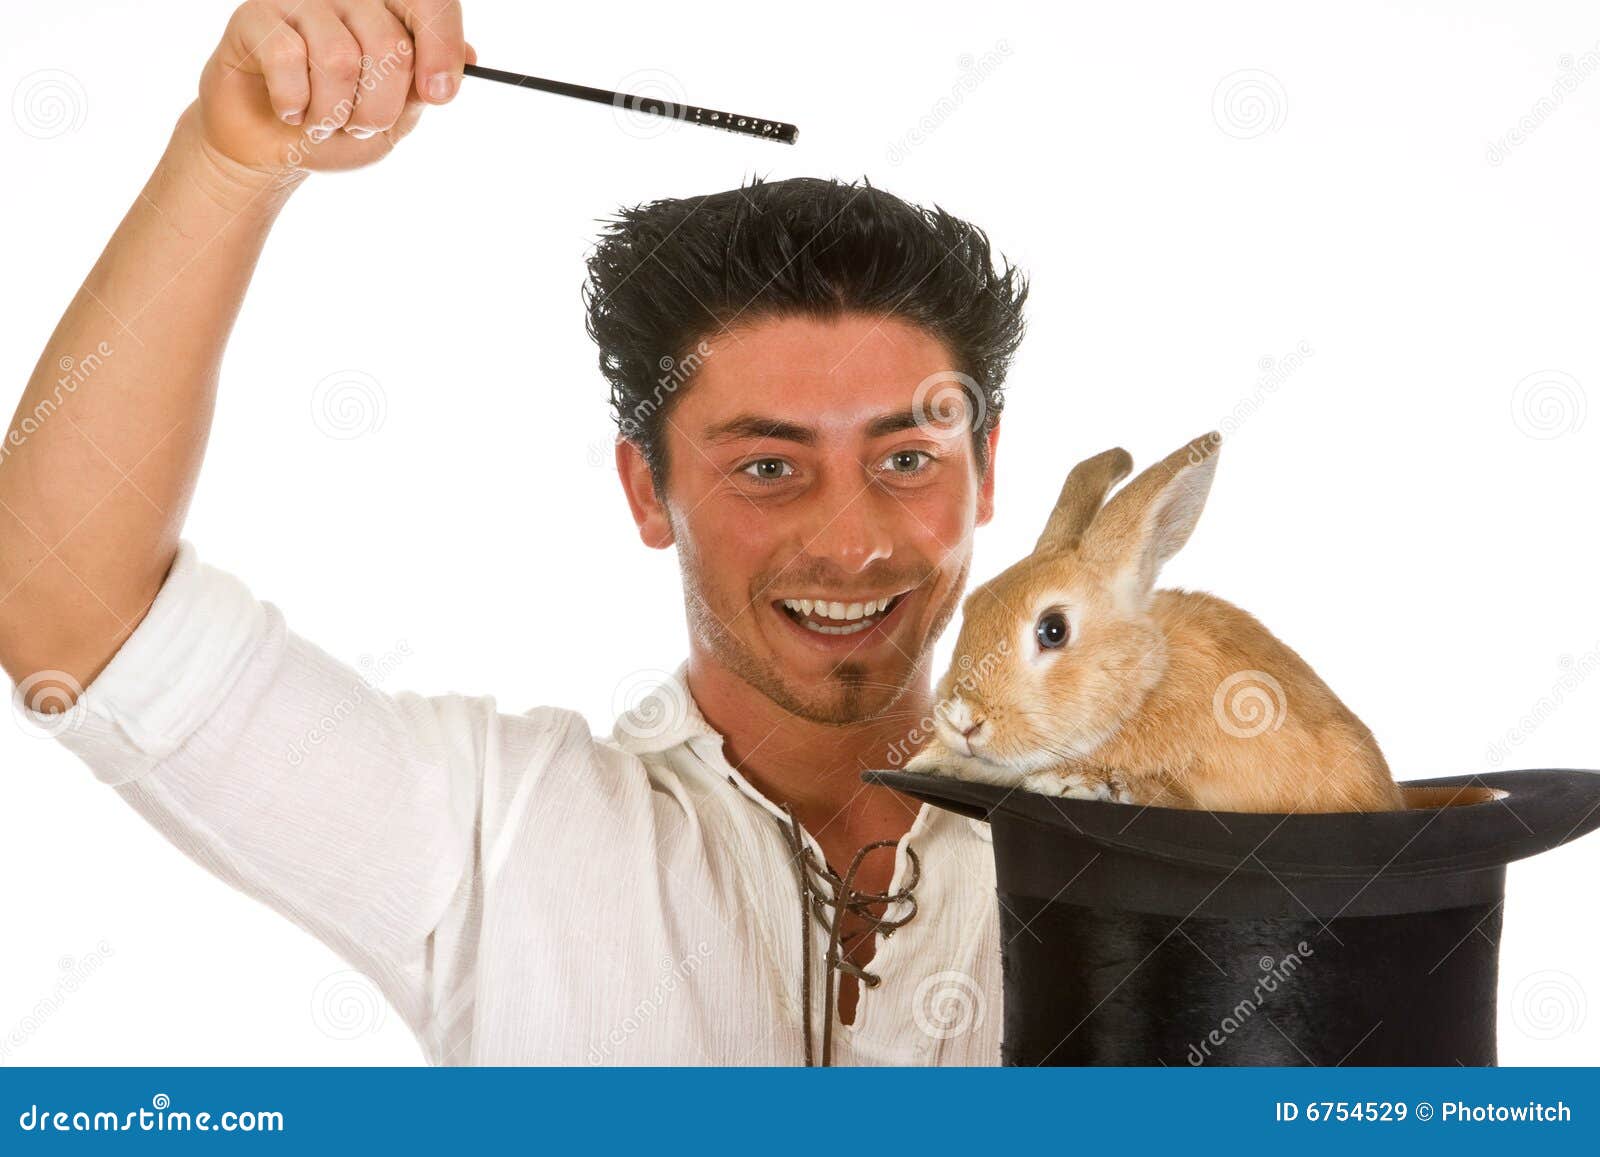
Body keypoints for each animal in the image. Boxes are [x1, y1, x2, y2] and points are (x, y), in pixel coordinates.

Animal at [904, 431, 1406, 813]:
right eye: (971, 605)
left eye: (1053, 630)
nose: (964, 719)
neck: (1144, 686)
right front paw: (928, 762)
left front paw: (1067, 783)